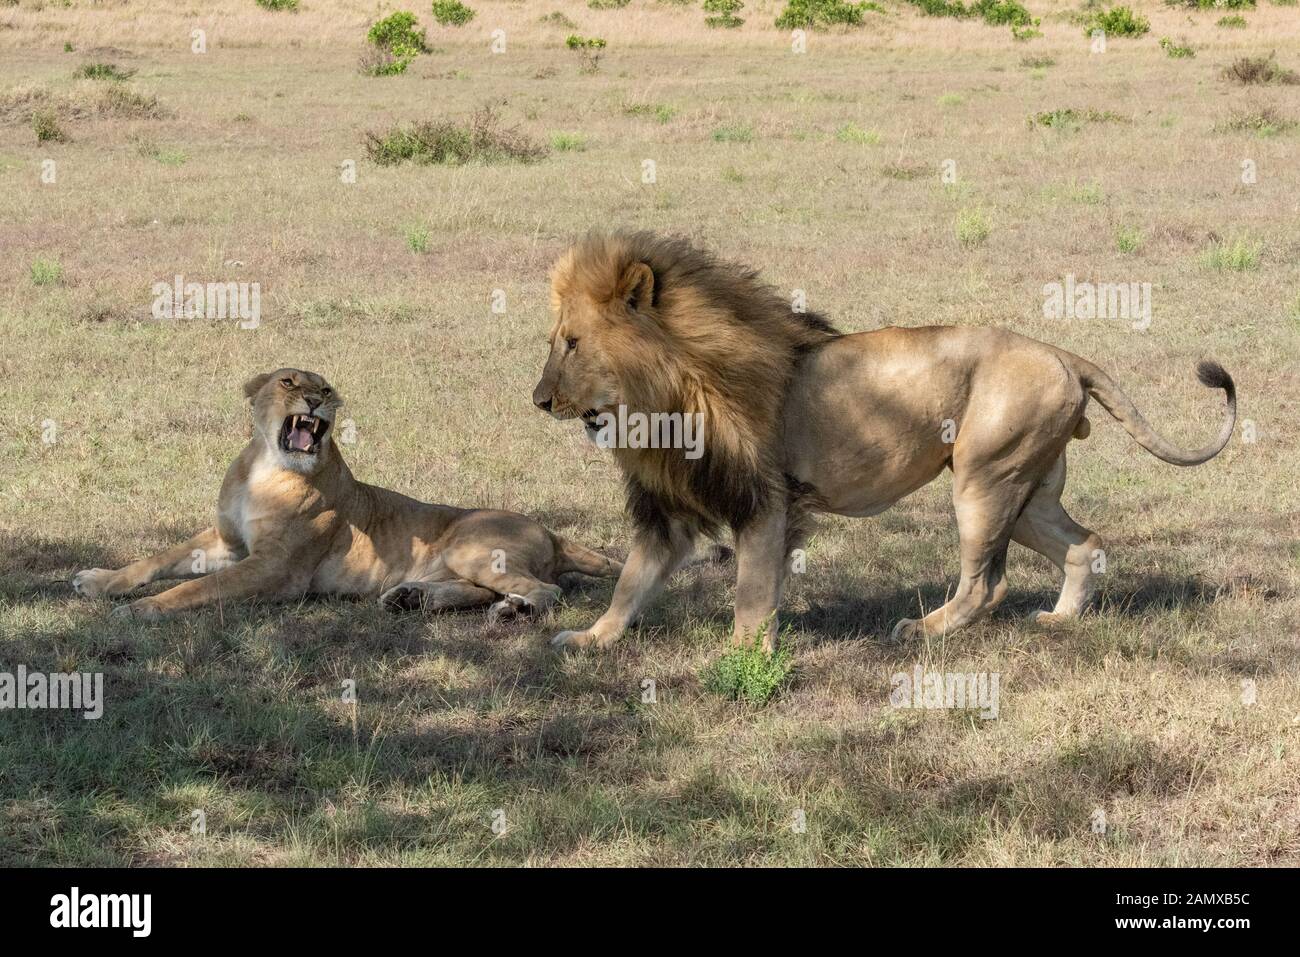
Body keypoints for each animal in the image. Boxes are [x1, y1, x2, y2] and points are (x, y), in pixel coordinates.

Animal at [73, 368, 622, 620]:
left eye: (327, 388)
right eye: (288, 381)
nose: (316, 399)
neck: (265, 467)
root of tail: (552, 532)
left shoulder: (277, 570)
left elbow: (197, 587)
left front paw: (142, 609)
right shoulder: (228, 542)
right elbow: (158, 559)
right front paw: (99, 581)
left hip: (470, 546)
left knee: (546, 590)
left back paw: (514, 609)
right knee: (477, 590)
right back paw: (411, 597)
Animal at [531, 231, 1236, 651]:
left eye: (573, 344)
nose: (539, 400)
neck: (669, 392)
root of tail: (1064, 352)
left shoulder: (764, 501)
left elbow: (752, 592)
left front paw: (742, 659)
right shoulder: (671, 512)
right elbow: (631, 583)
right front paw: (590, 639)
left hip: (984, 479)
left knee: (986, 583)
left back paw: (923, 629)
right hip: (1027, 489)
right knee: (1084, 544)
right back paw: (1060, 620)